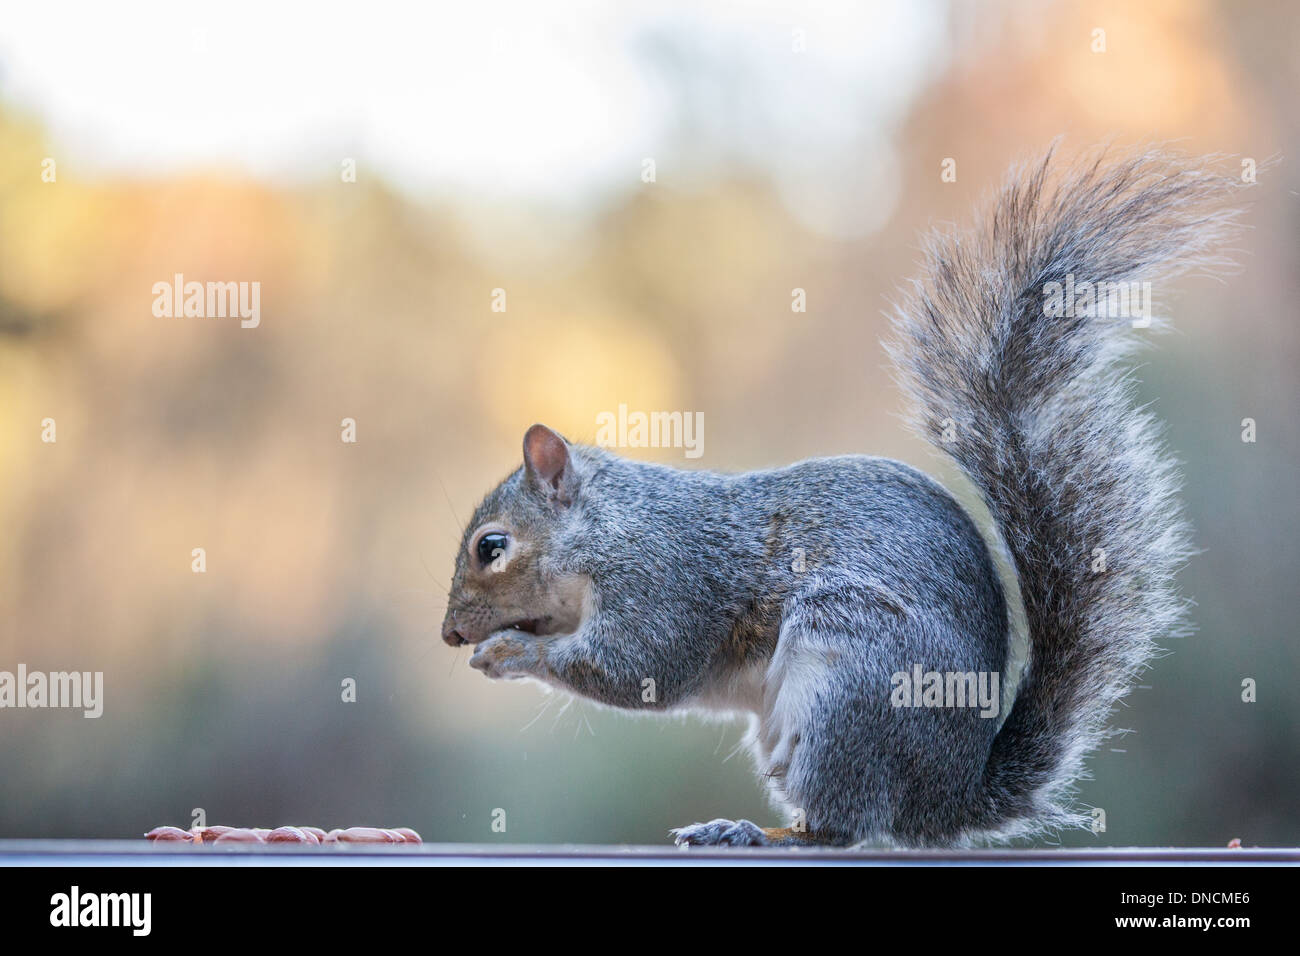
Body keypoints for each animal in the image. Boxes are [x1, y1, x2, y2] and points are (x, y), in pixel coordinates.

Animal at [441, 146, 1240, 847]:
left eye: (492, 546)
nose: (451, 635)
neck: (609, 530)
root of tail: (949, 795)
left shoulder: (664, 582)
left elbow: (636, 667)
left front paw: (512, 652)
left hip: (848, 683)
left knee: (840, 825)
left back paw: (753, 833)